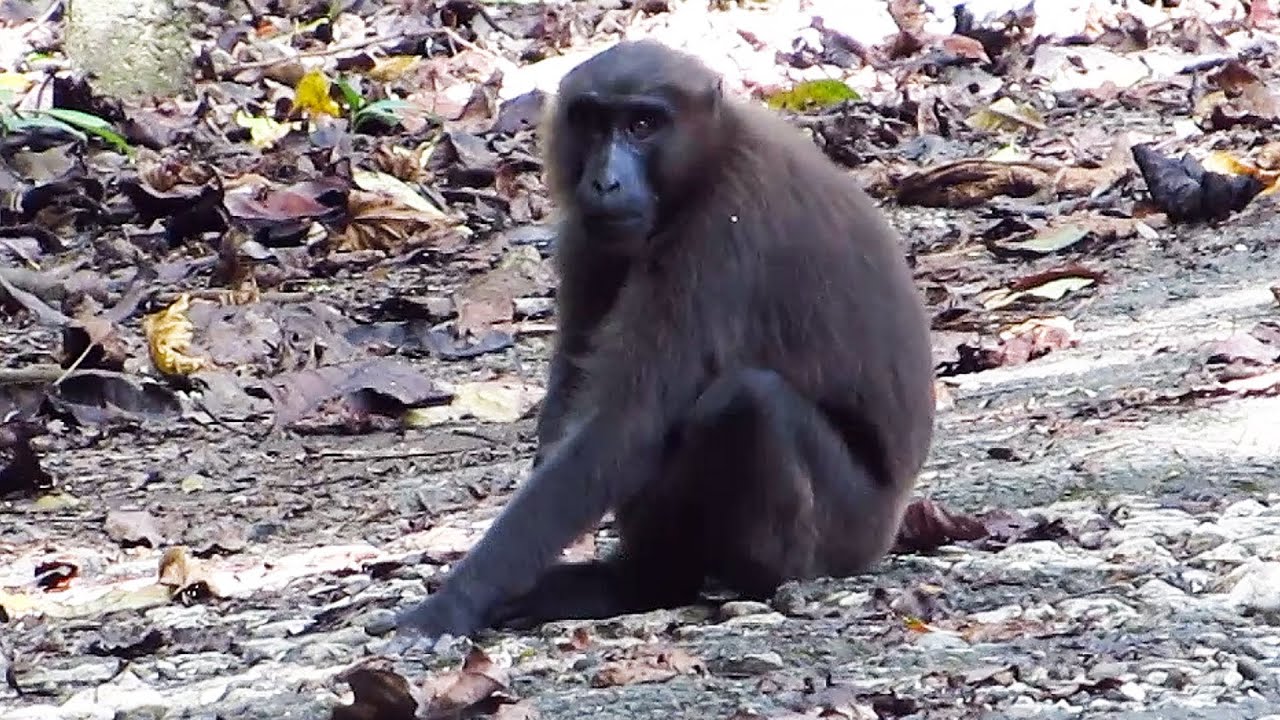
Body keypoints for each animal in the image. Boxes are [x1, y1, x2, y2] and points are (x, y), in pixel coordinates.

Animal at [387, 39, 935, 640]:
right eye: (593, 122)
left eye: (643, 125)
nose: (605, 181)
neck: (711, 157)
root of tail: (889, 528)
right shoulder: (587, 233)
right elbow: (577, 389)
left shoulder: (721, 230)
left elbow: (627, 422)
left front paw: (452, 602)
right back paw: (634, 583)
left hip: (846, 531)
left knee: (749, 400)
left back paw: (714, 583)